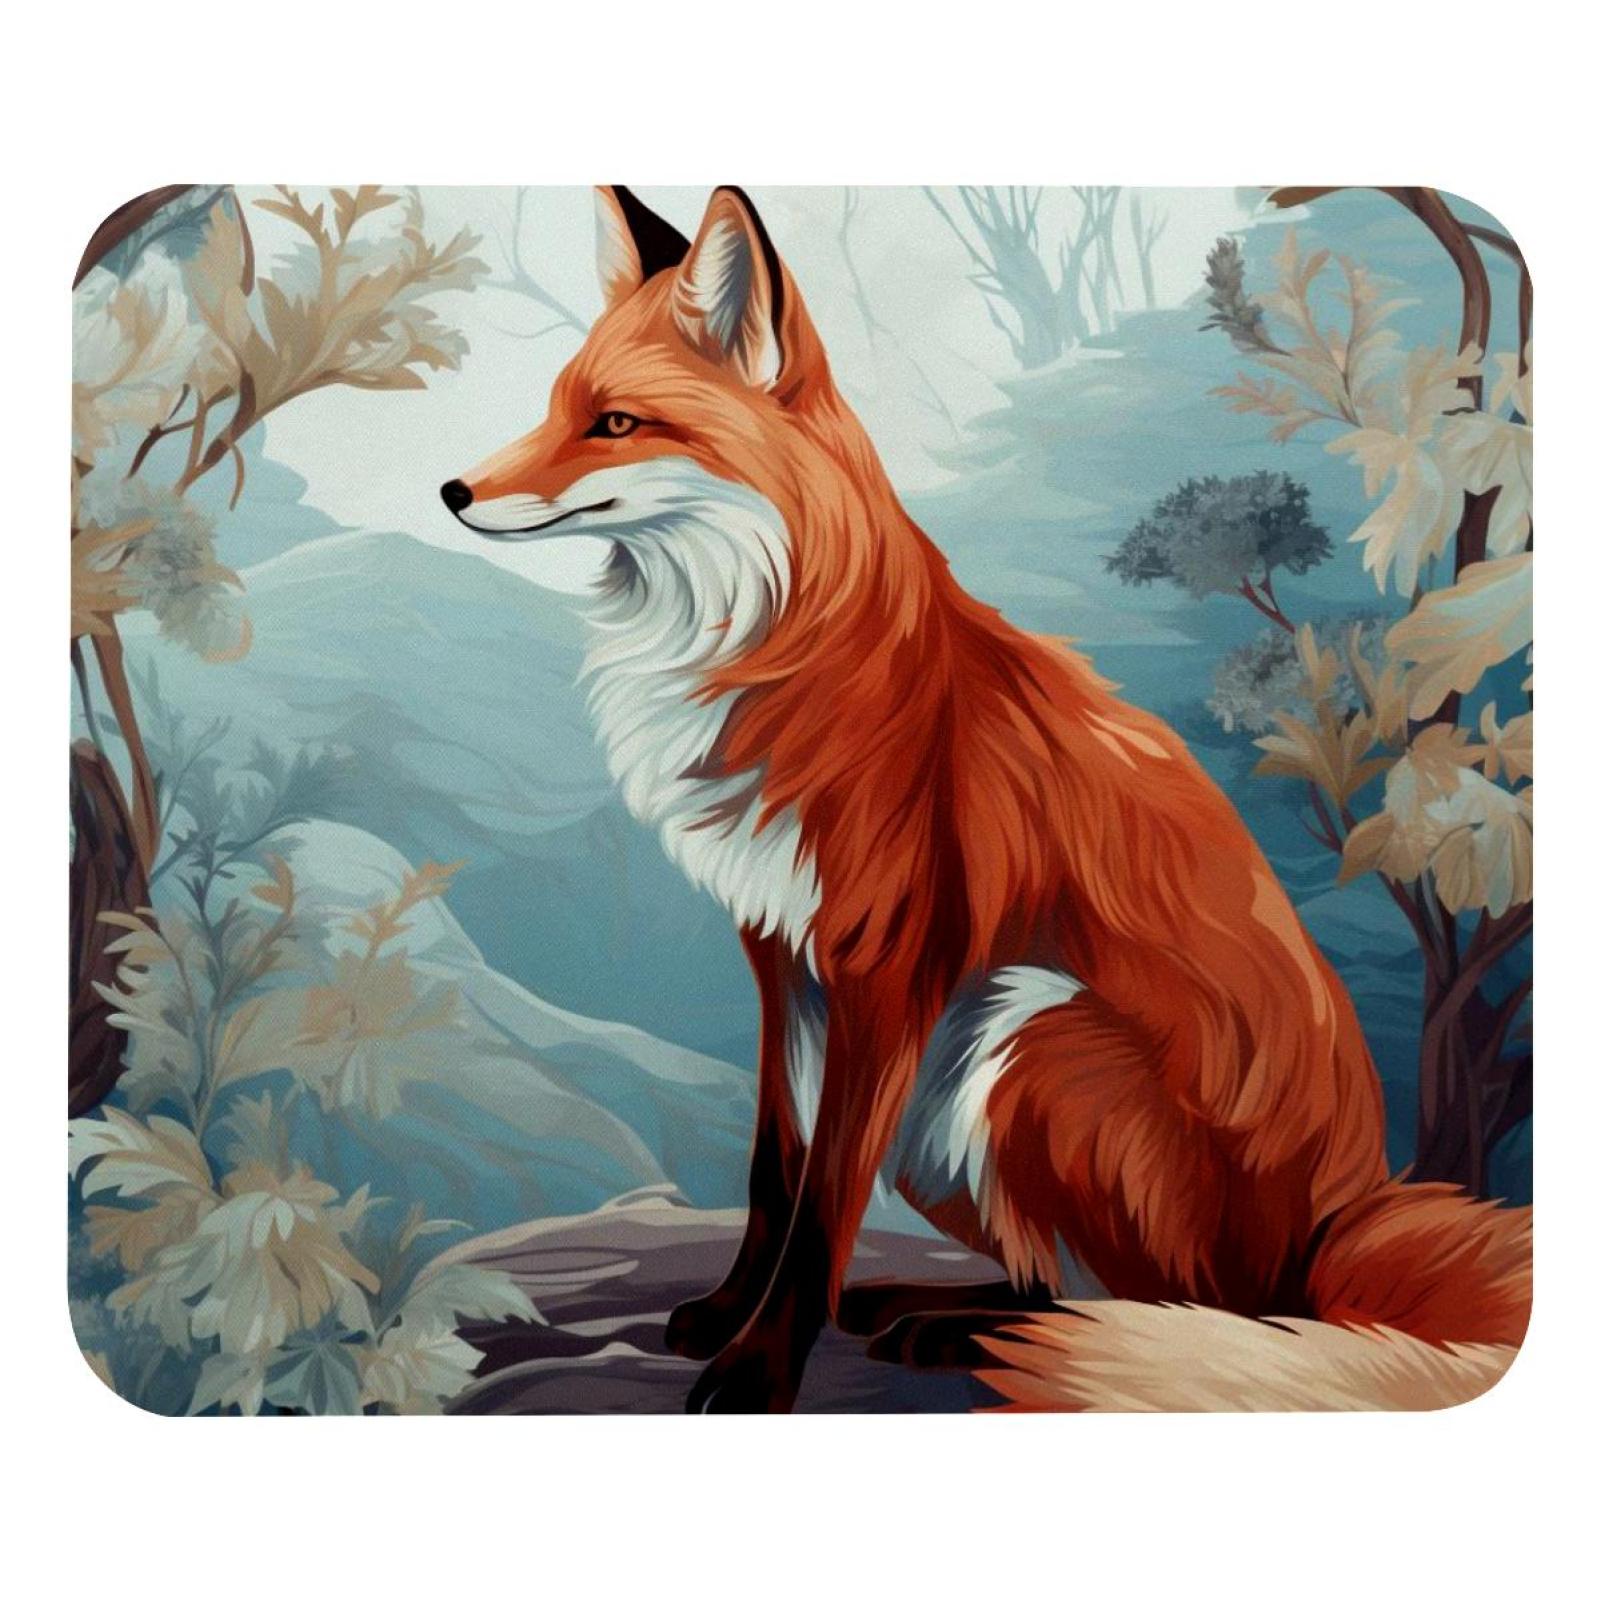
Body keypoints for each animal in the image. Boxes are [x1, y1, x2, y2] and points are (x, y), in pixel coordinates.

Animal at [442, 185, 1531, 1413]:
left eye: (616, 423)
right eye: (557, 408)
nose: (452, 490)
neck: (771, 647)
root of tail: (1329, 1233)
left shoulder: (886, 965)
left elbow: (823, 1201)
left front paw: (757, 1368)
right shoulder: (781, 954)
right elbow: (774, 1167)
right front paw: (725, 1315)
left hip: (1028, 1030)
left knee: (1158, 1309)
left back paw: (957, 1331)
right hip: (951, 1106)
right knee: (1062, 1283)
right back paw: (919, 1311)